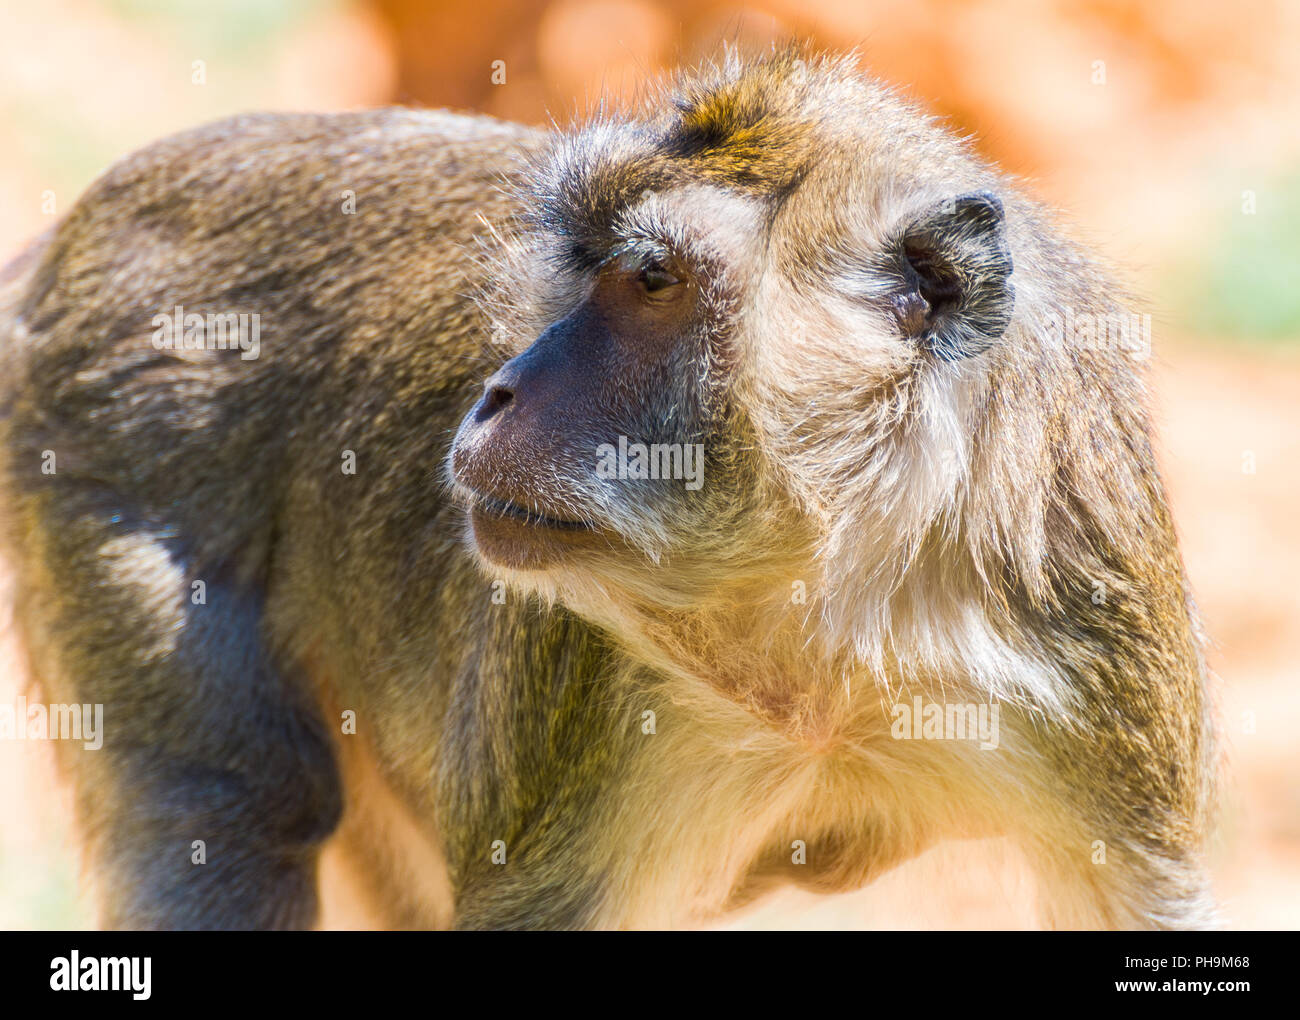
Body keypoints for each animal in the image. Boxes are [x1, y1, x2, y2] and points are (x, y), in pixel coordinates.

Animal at [0, 48, 1219, 930]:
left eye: (650, 279)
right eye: (589, 266)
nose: (498, 392)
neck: (823, 630)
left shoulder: (1090, 644)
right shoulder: (567, 700)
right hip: (104, 456)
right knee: (241, 804)